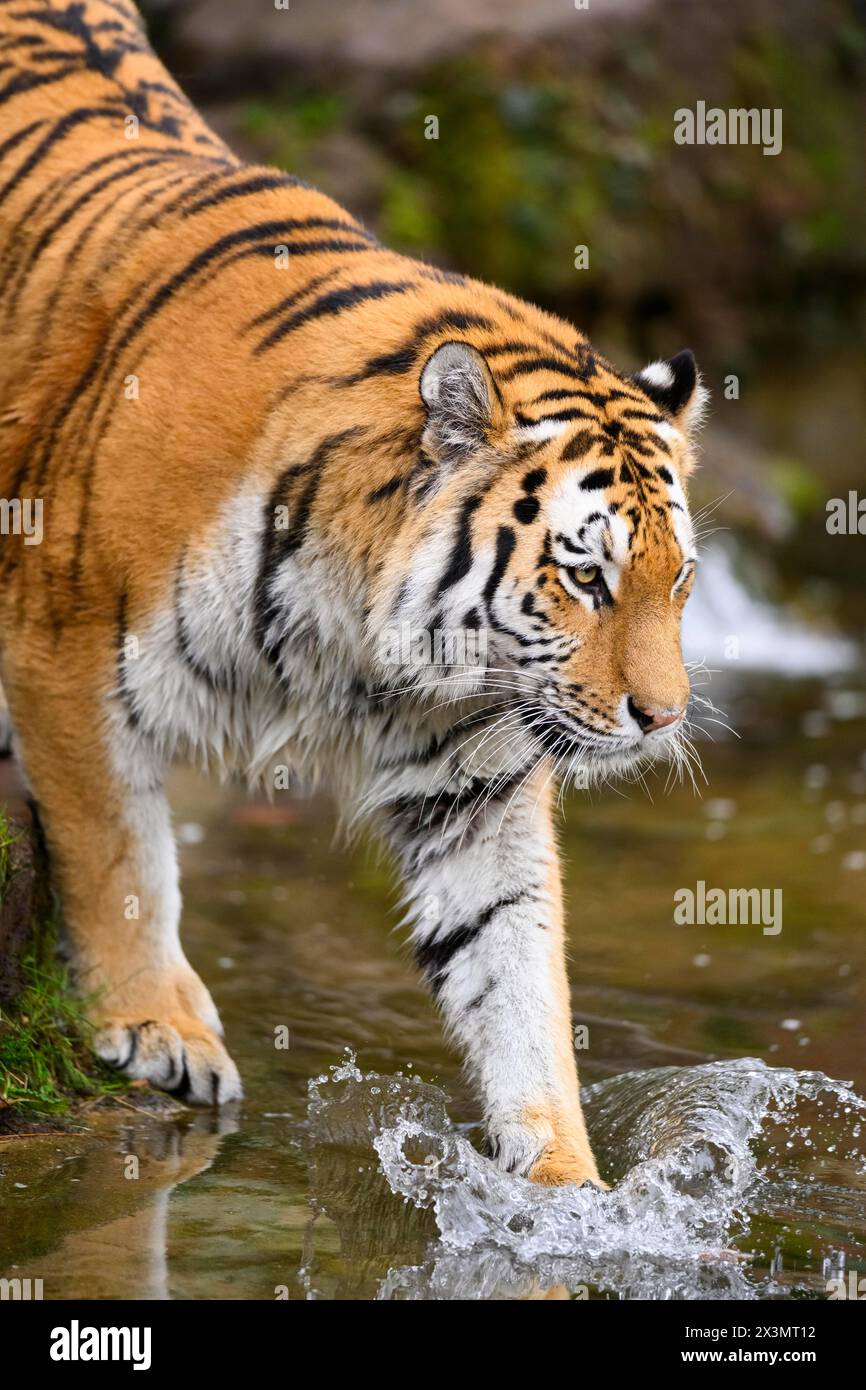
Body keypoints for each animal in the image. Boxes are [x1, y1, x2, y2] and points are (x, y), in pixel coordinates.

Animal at [0, 0, 707, 1189]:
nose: (662, 719)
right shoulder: (66, 636)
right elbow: (120, 850)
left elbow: (515, 968)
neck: (368, 650)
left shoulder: (475, 775)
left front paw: (567, 1188)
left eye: (679, 579)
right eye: (585, 574)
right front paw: (157, 1028)